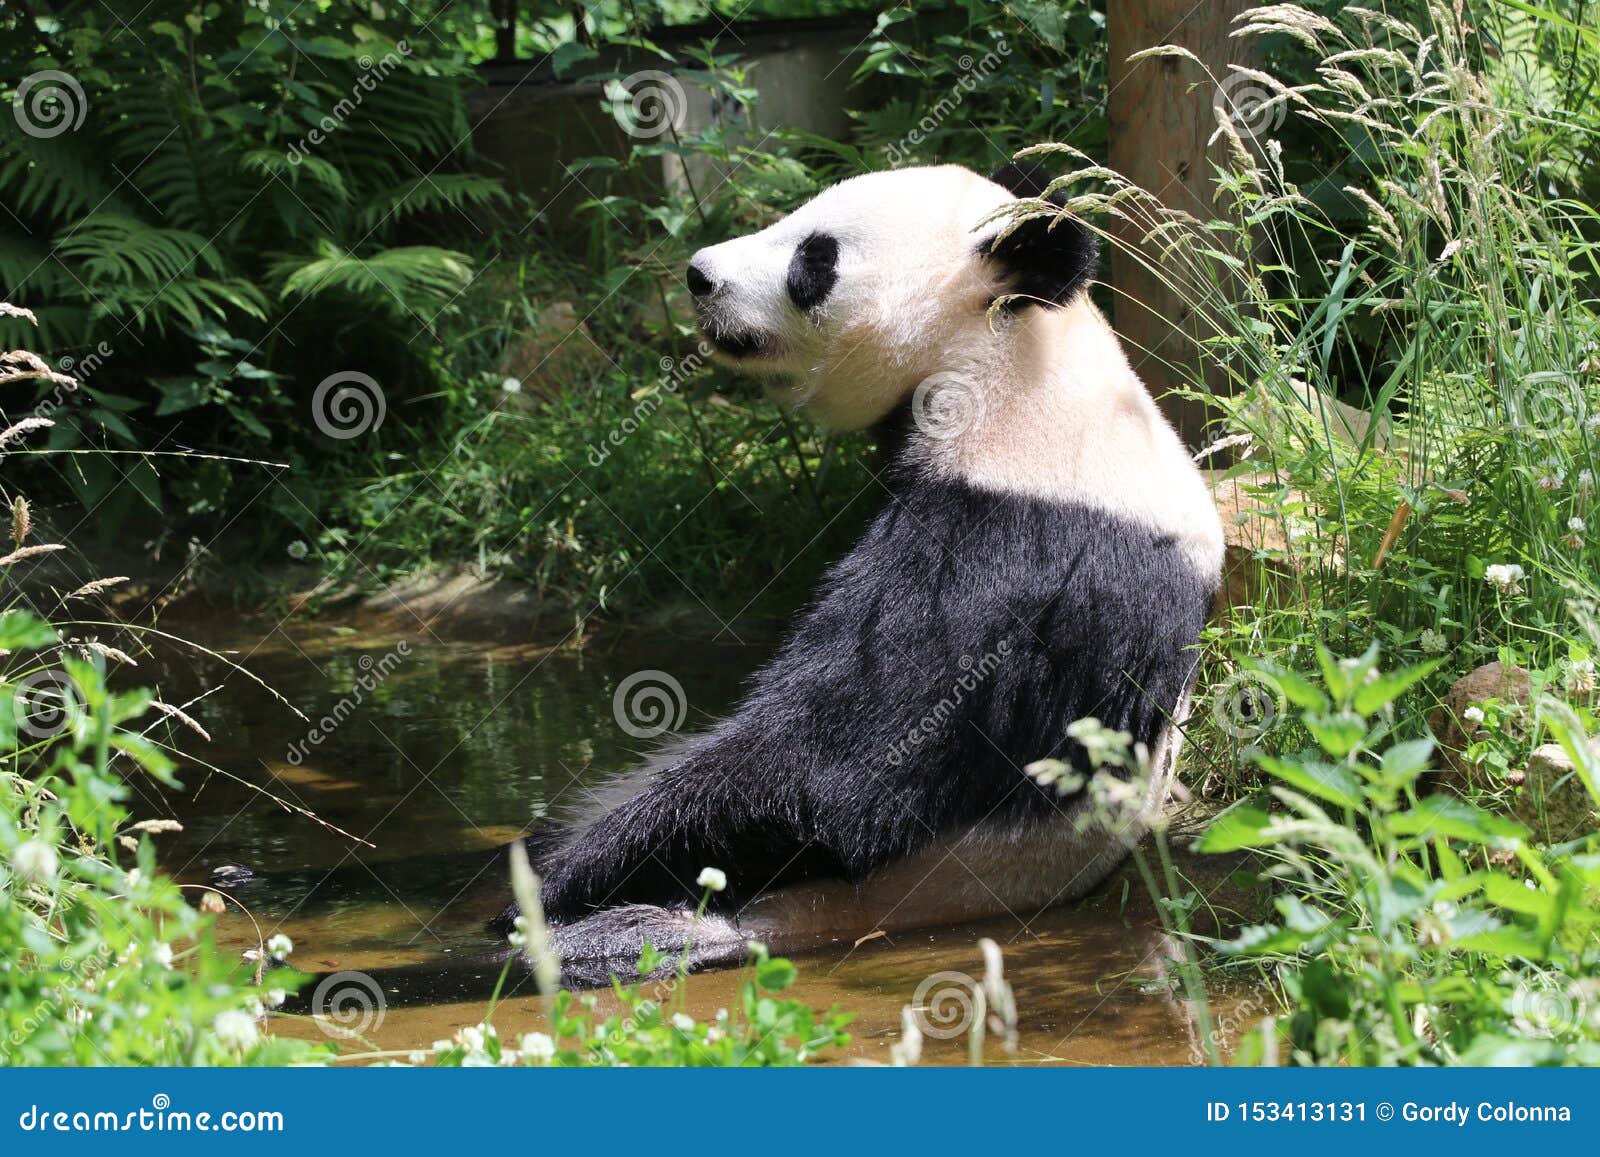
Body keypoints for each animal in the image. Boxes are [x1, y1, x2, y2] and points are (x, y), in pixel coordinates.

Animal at [501, 161, 1224, 979]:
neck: (1014, 364)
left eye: (815, 258)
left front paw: (552, 885)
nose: (699, 275)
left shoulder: (1017, 545)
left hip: (901, 881)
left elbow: (837, 767)